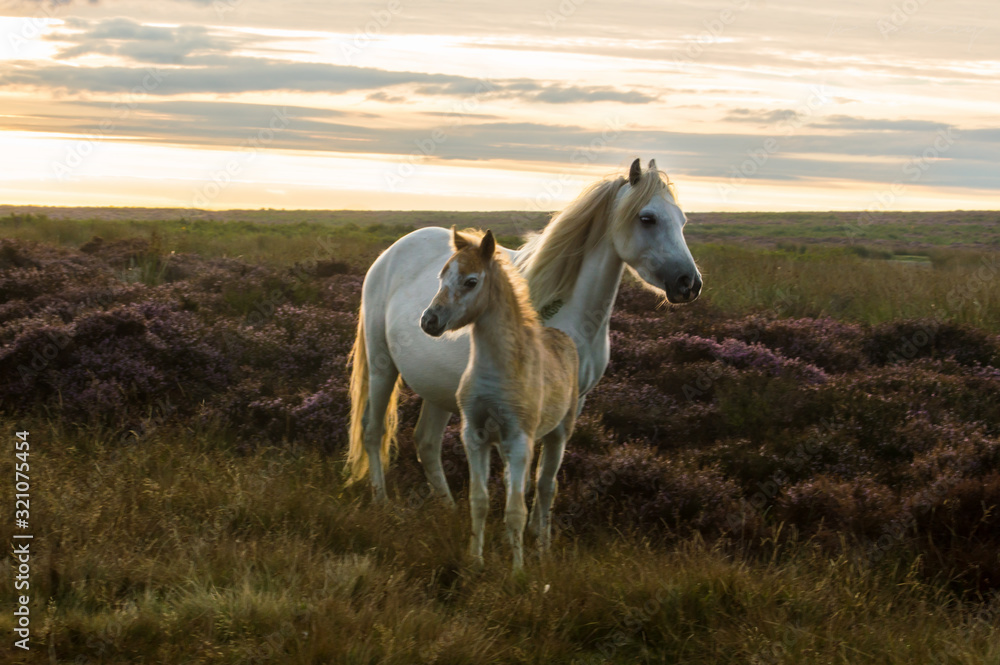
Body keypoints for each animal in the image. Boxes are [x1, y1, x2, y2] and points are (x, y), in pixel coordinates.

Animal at [347, 158, 702, 503]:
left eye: (682, 220)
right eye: (647, 218)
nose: (689, 283)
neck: (574, 321)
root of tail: (390, 253)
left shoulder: (571, 406)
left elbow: (545, 482)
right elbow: (521, 481)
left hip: (437, 384)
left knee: (427, 442)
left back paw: (446, 507)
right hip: (381, 366)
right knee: (373, 431)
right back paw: (382, 502)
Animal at [420, 227, 579, 571]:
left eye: (471, 281)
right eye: (442, 276)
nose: (429, 321)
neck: (499, 370)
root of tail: (564, 338)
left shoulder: (520, 439)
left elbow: (516, 509)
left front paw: (517, 571)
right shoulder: (476, 436)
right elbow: (479, 501)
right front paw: (475, 560)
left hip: (558, 435)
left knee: (547, 487)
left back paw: (543, 550)